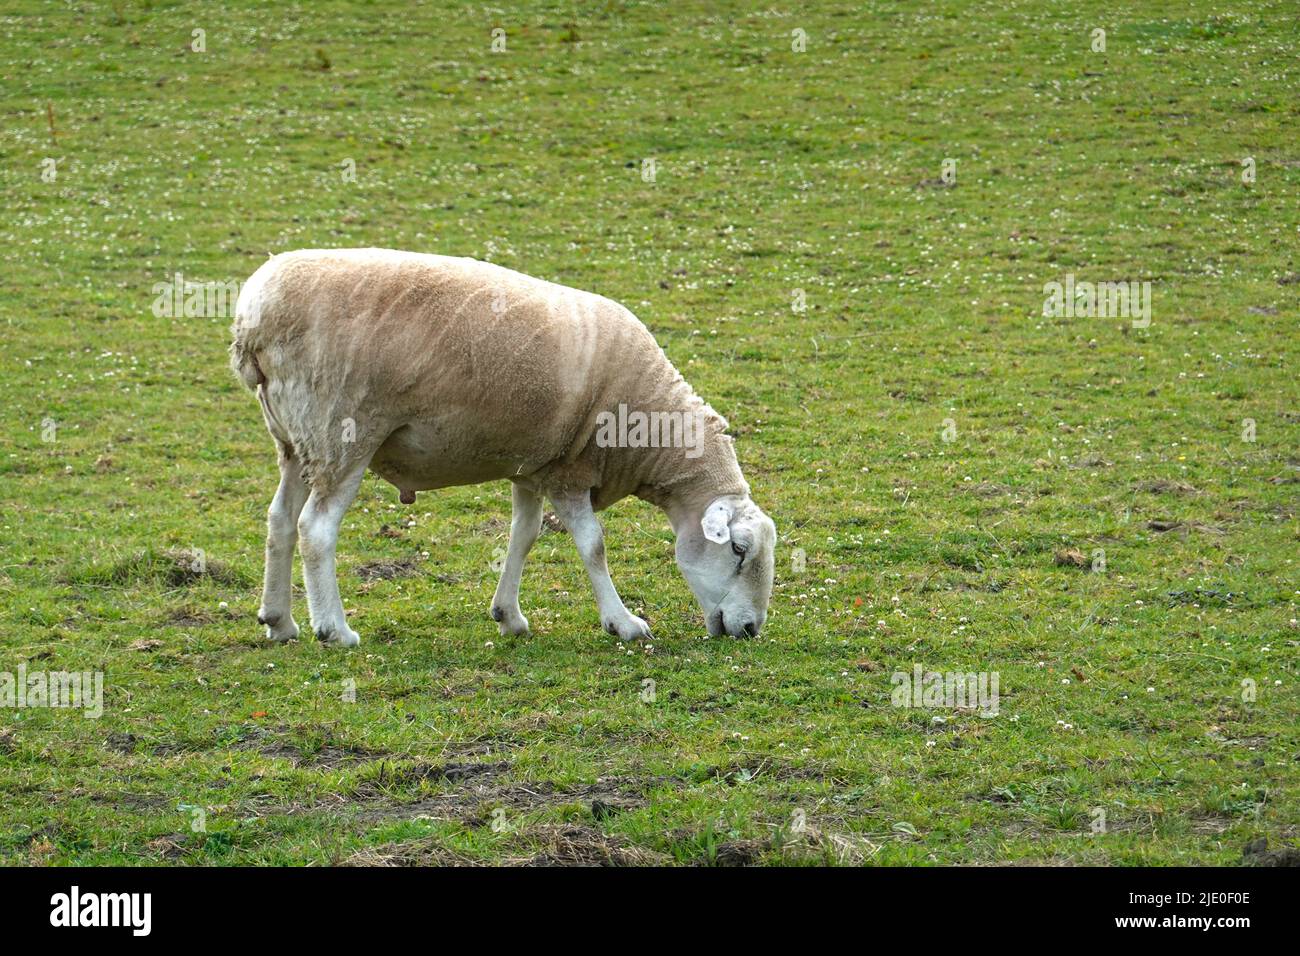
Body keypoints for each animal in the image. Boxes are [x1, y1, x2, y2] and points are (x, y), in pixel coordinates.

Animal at [230, 249, 775, 646]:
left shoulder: (536, 465)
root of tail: (251, 320)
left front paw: (508, 615)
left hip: (295, 440)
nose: (750, 629)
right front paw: (622, 622)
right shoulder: (571, 471)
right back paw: (334, 629)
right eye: (739, 550)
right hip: (340, 433)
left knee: (280, 520)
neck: (648, 423)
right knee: (316, 529)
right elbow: (593, 546)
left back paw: (279, 621)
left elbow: (524, 535)